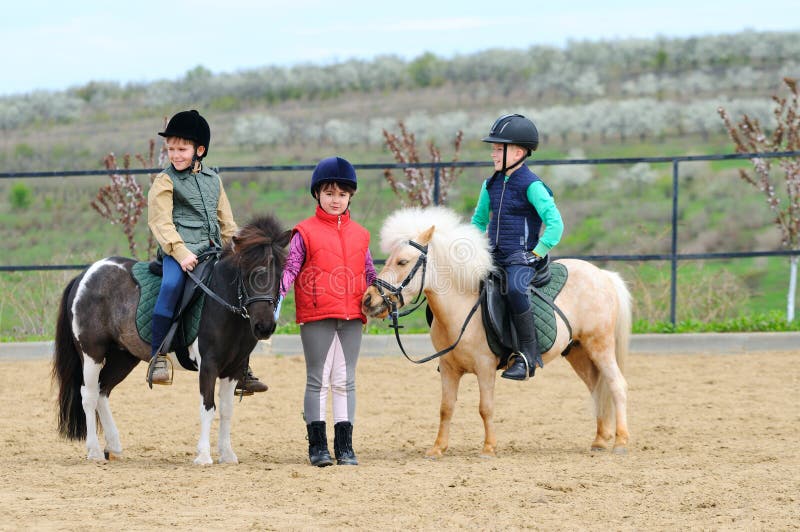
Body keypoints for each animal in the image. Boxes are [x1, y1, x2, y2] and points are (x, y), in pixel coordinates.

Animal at [52, 215, 291, 464]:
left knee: (102, 391)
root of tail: (85, 275)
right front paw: (203, 456)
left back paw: (114, 447)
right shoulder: (209, 364)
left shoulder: (233, 368)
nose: (264, 327)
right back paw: (95, 452)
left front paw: (227, 454)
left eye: (281, 272)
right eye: (247, 270)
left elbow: (226, 410)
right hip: (92, 354)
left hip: (123, 357)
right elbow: (208, 407)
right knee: (88, 396)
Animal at [361, 206, 631, 457]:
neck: (461, 306)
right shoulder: (448, 368)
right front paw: (438, 448)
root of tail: (603, 275)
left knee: (616, 385)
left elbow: (485, 407)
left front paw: (489, 448)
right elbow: (446, 408)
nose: (368, 300)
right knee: (597, 389)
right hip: (578, 352)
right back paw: (599, 440)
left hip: (600, 346)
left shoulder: (485, 366)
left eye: (403, 262)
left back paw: (620, 442)